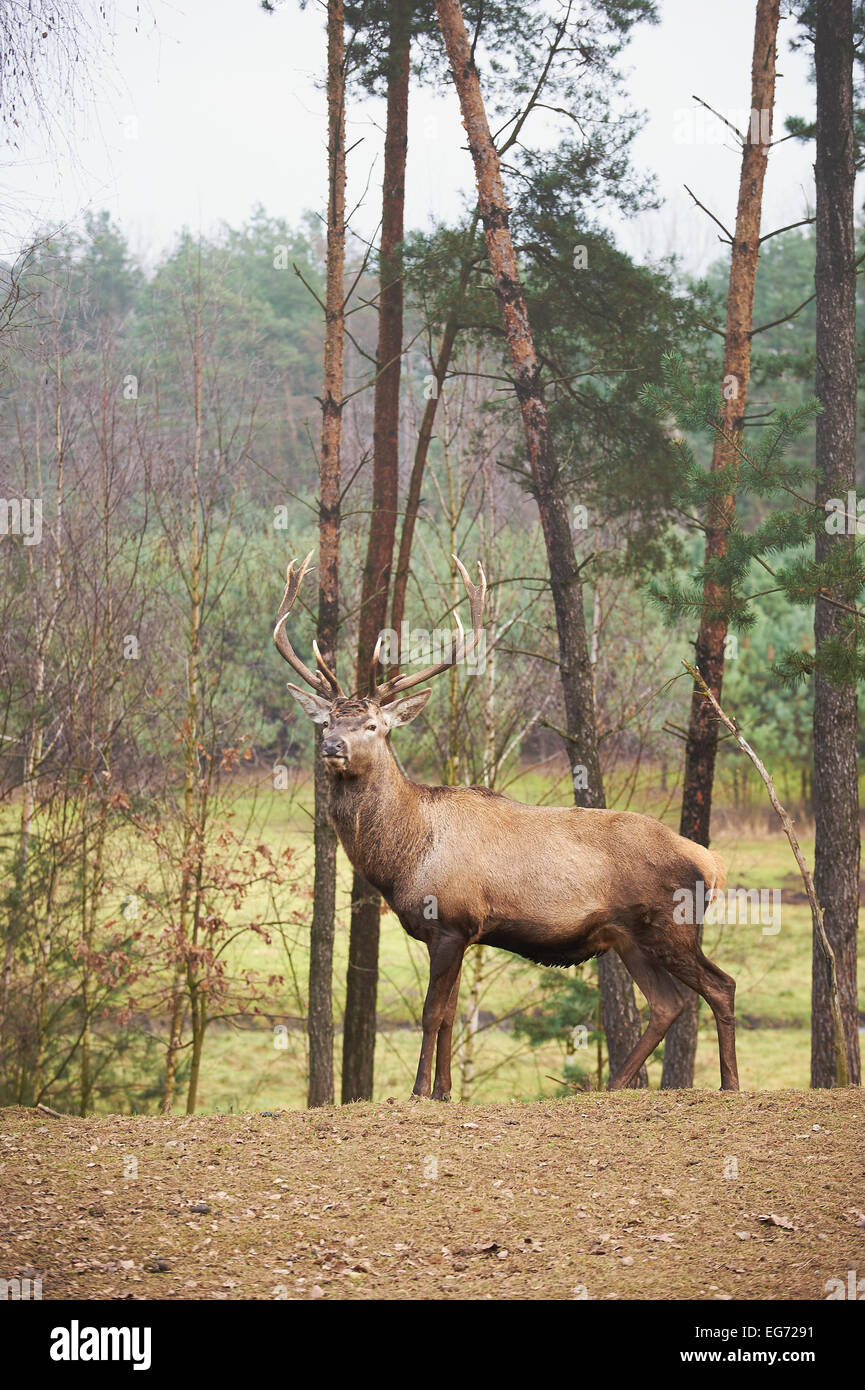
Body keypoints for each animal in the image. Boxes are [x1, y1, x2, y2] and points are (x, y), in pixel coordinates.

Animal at [274, 553, 739, 1101]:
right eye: (326, 722)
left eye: (373, 726)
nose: (332, 747)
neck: (405, 857)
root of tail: (711, 861)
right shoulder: (457, 933)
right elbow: (452, 1016)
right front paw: (444, 1091)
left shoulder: (451, 921)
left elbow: (431, 1014)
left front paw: (418, 1091)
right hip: (630, 938)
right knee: (669, 1004)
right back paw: (612, 1085)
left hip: (673, 923)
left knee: (720, 986)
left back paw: (729, 1083)